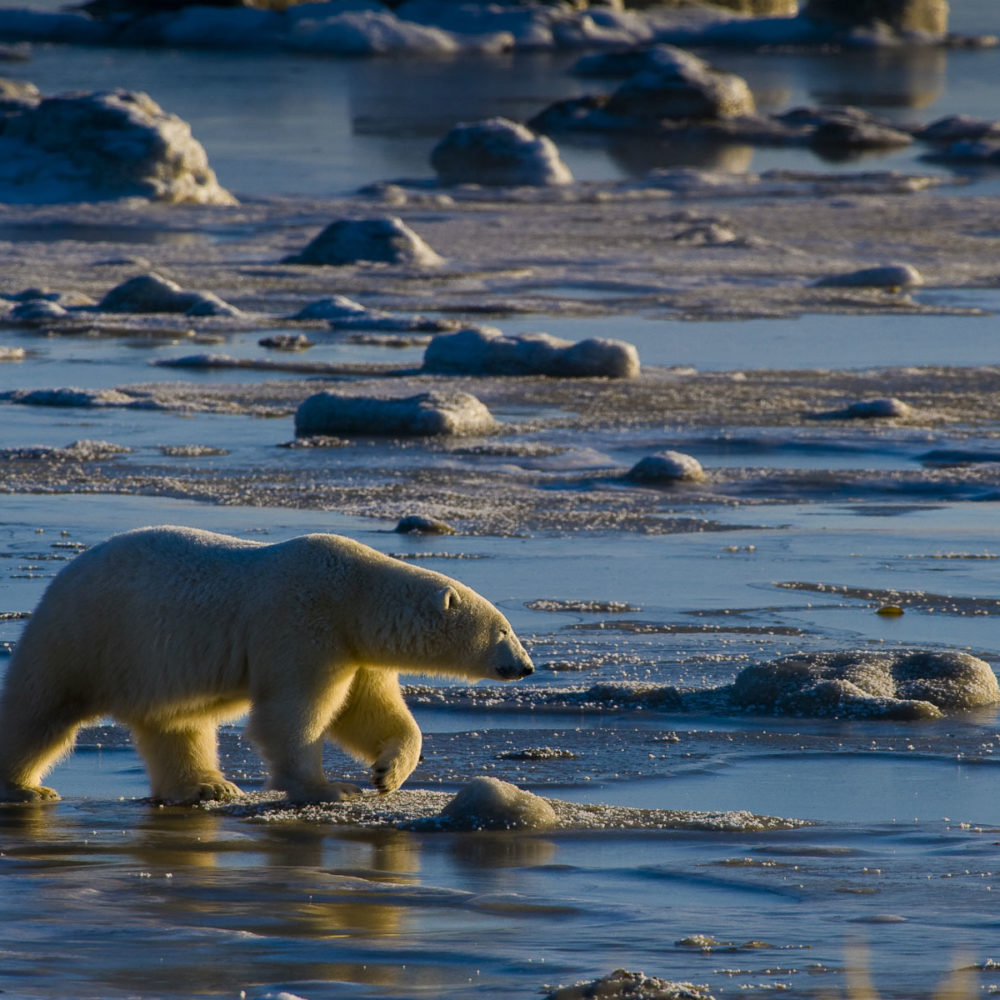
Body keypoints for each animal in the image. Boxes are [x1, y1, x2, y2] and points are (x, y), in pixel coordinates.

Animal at [0, 525, 533, 805]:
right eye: (505, 630)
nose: (527, 667)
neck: (354, 593)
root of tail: (64, 575)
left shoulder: (352, 649)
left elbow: (369, 711)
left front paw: (387, 773)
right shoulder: (302, 623)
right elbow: (294, 712)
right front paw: (328, 788)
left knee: (176, 725)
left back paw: (208, 786)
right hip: (87, 634)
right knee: (38, 711)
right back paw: (26, 787)